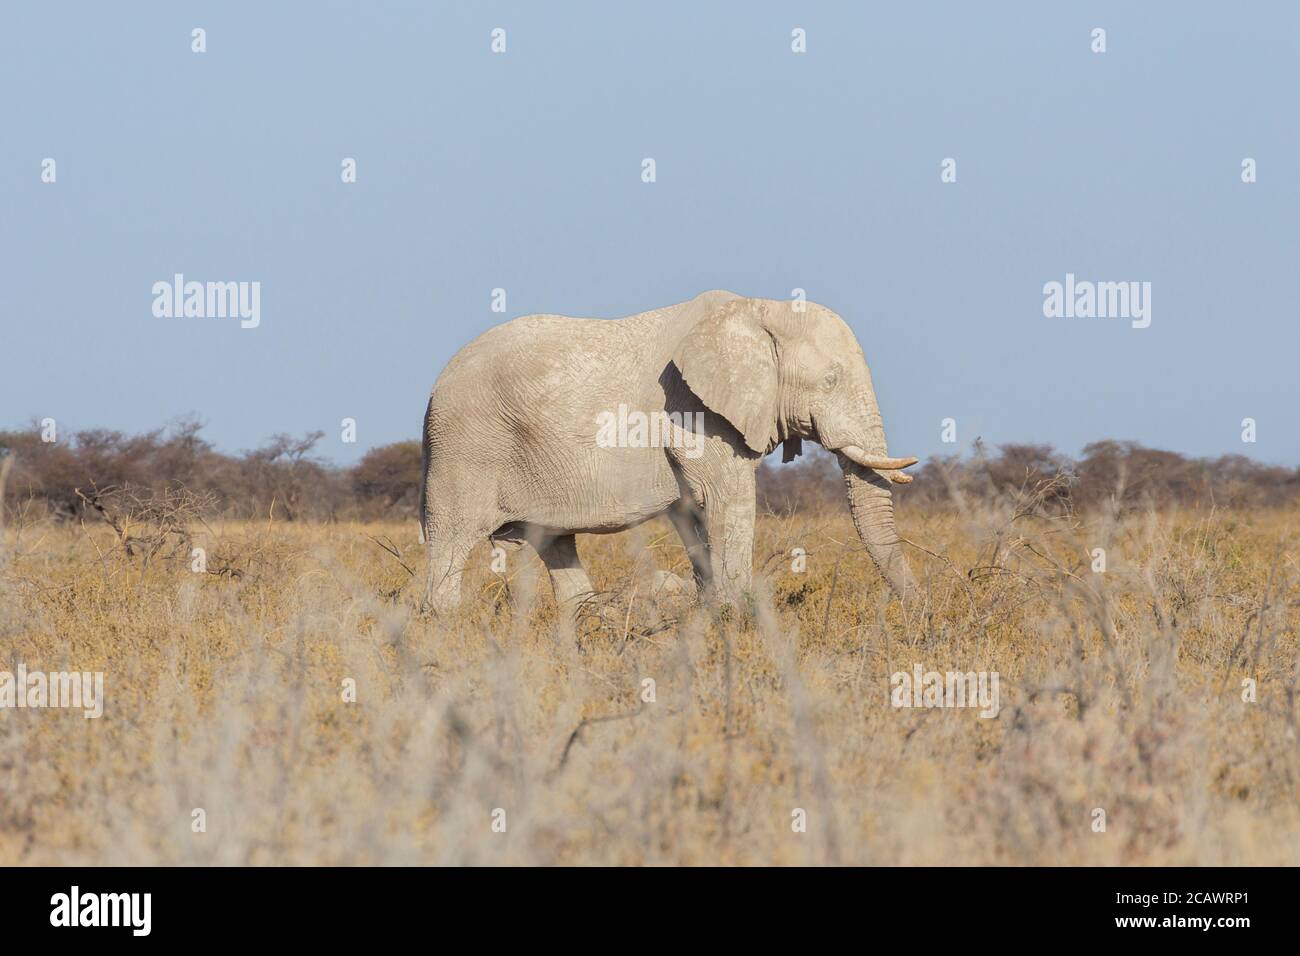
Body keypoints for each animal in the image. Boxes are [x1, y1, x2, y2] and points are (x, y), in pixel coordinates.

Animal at [419, 290, 918, 617]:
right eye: (830, 381)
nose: (913, 609)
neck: (760, 309)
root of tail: (434, 388)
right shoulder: (694, 412)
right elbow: (727, 502)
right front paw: (737, 618)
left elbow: (694, 513)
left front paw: (712, 615)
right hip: (464, 449)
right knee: (452, 540)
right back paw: (446, 625)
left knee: (553, 543)